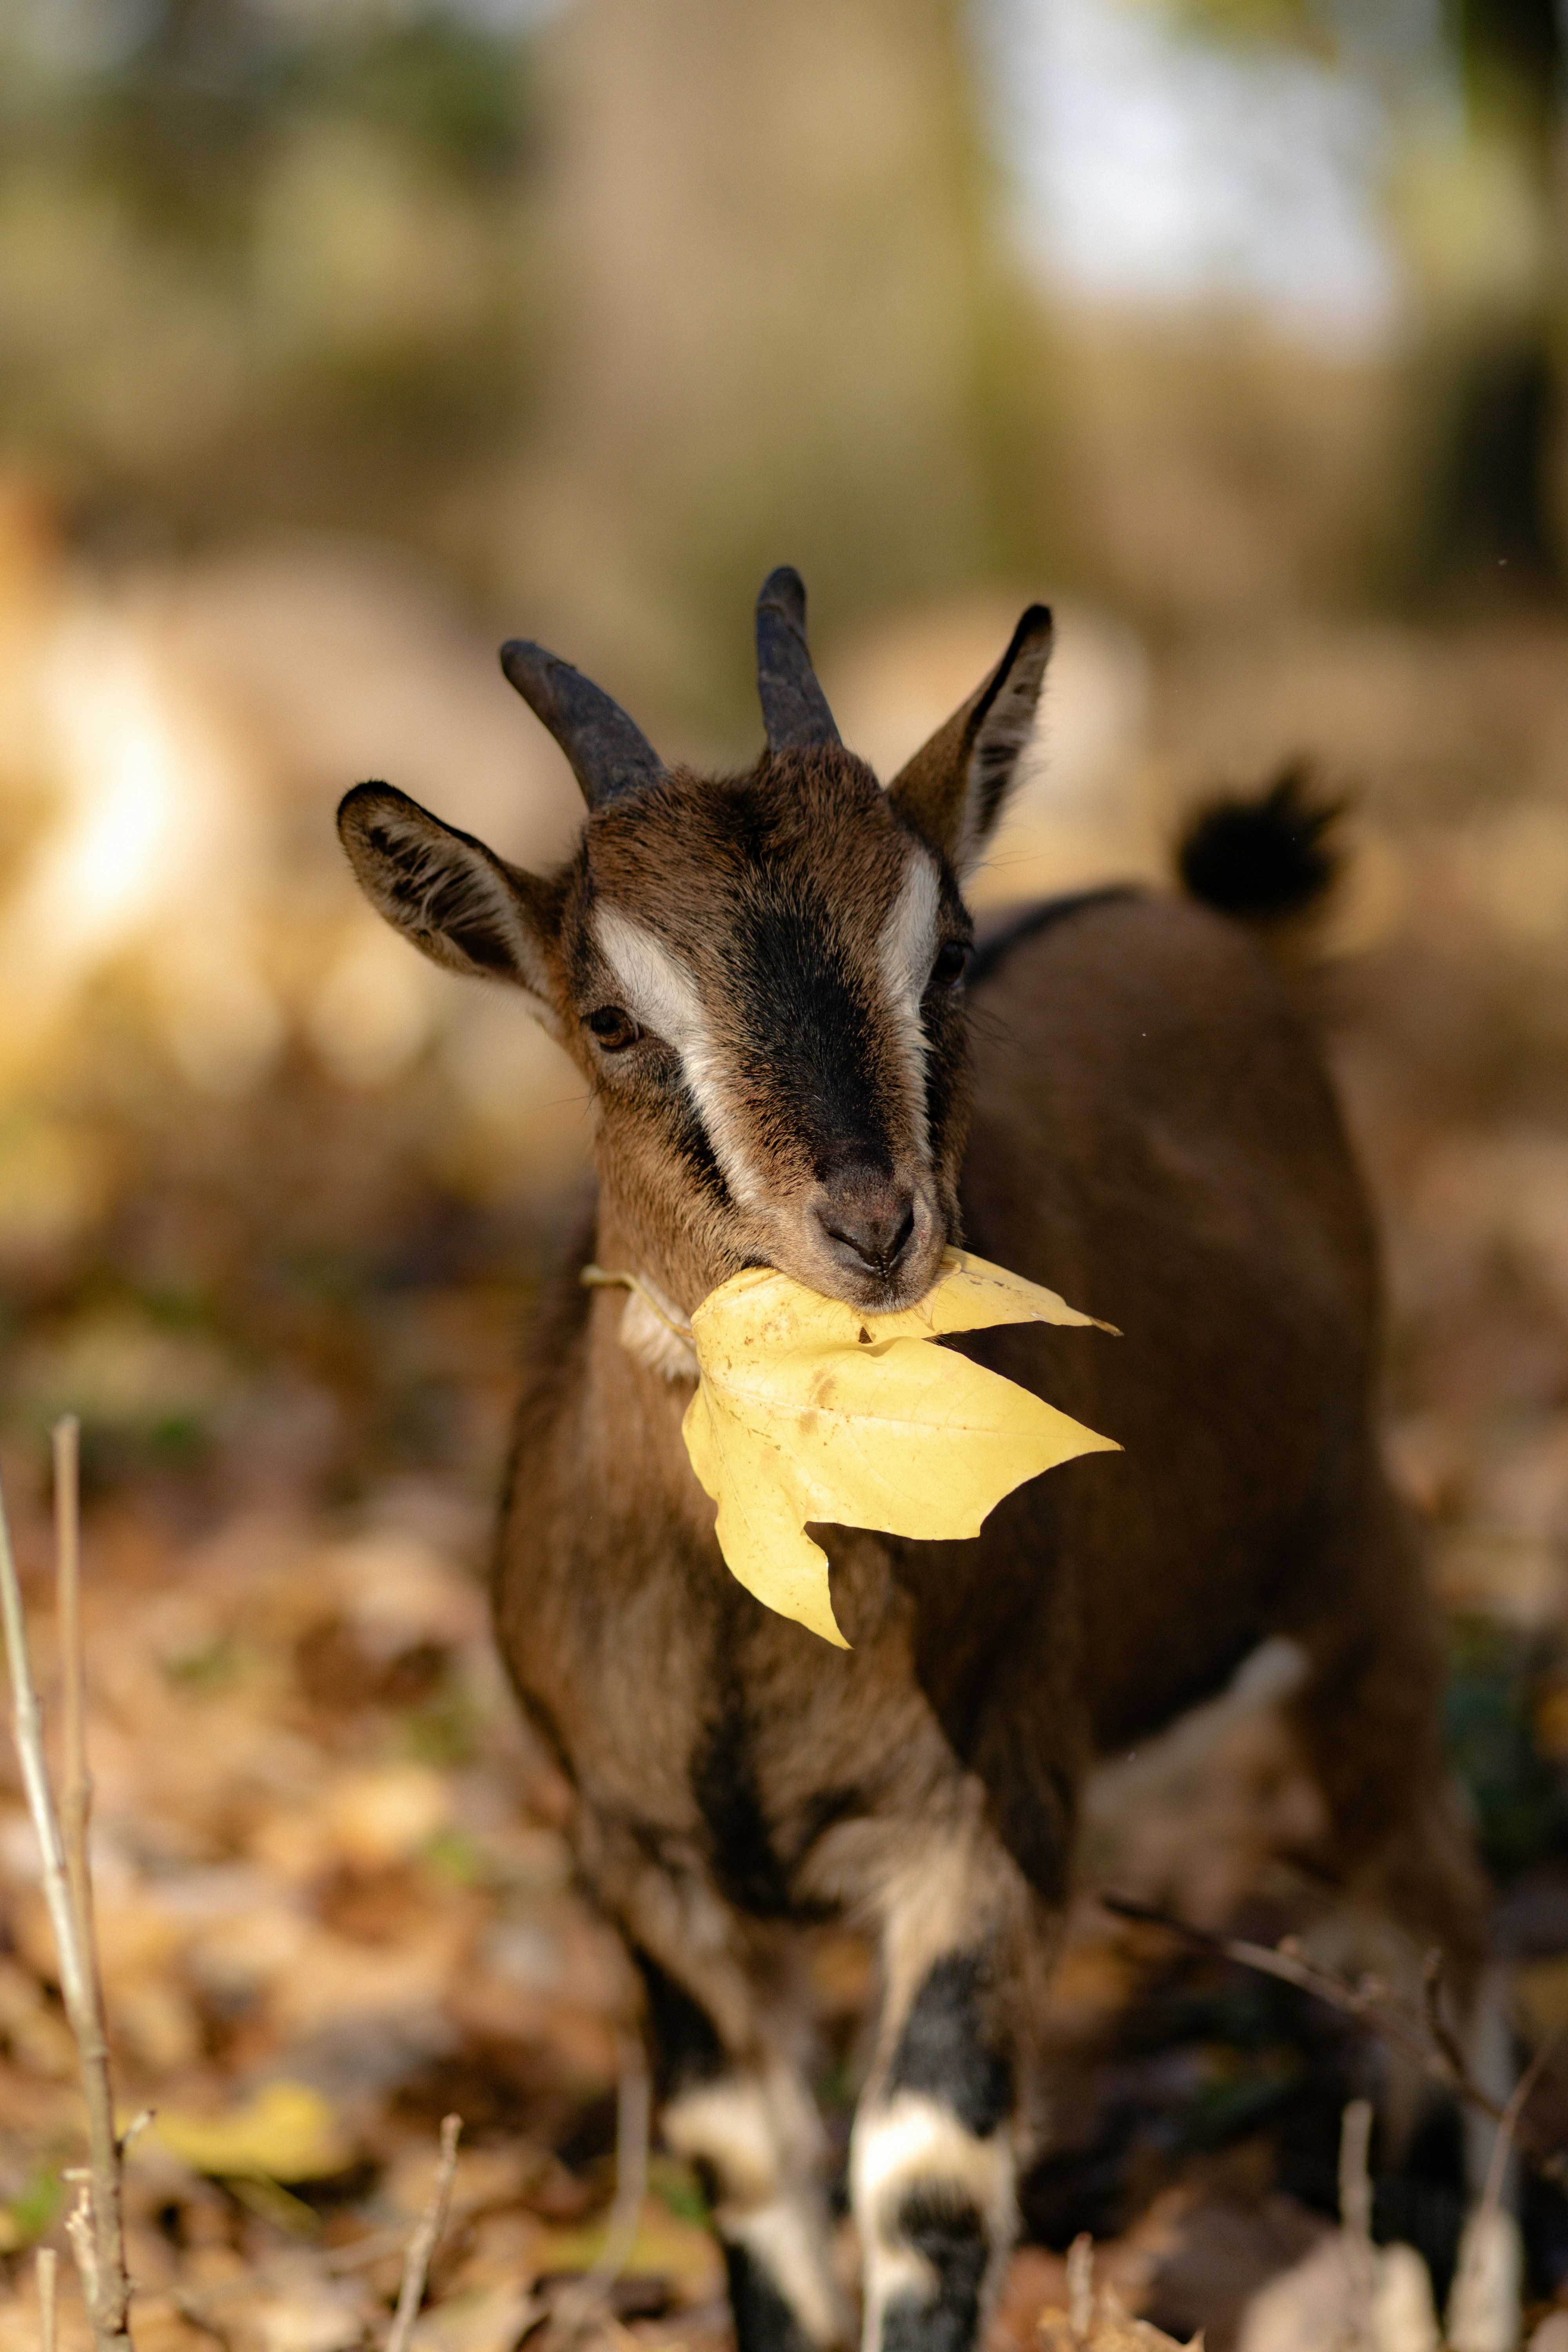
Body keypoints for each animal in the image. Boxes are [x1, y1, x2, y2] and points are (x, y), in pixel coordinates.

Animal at [338, 571, 1488, 2352]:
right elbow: (748, 2171)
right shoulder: (644, 1866)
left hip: (1359, 1595)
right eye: (607, 1019)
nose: (874, 1223)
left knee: (1439, 1922)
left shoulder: (983, 1818)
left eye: (940, 954)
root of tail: (1185, 914)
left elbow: (924, 2180)